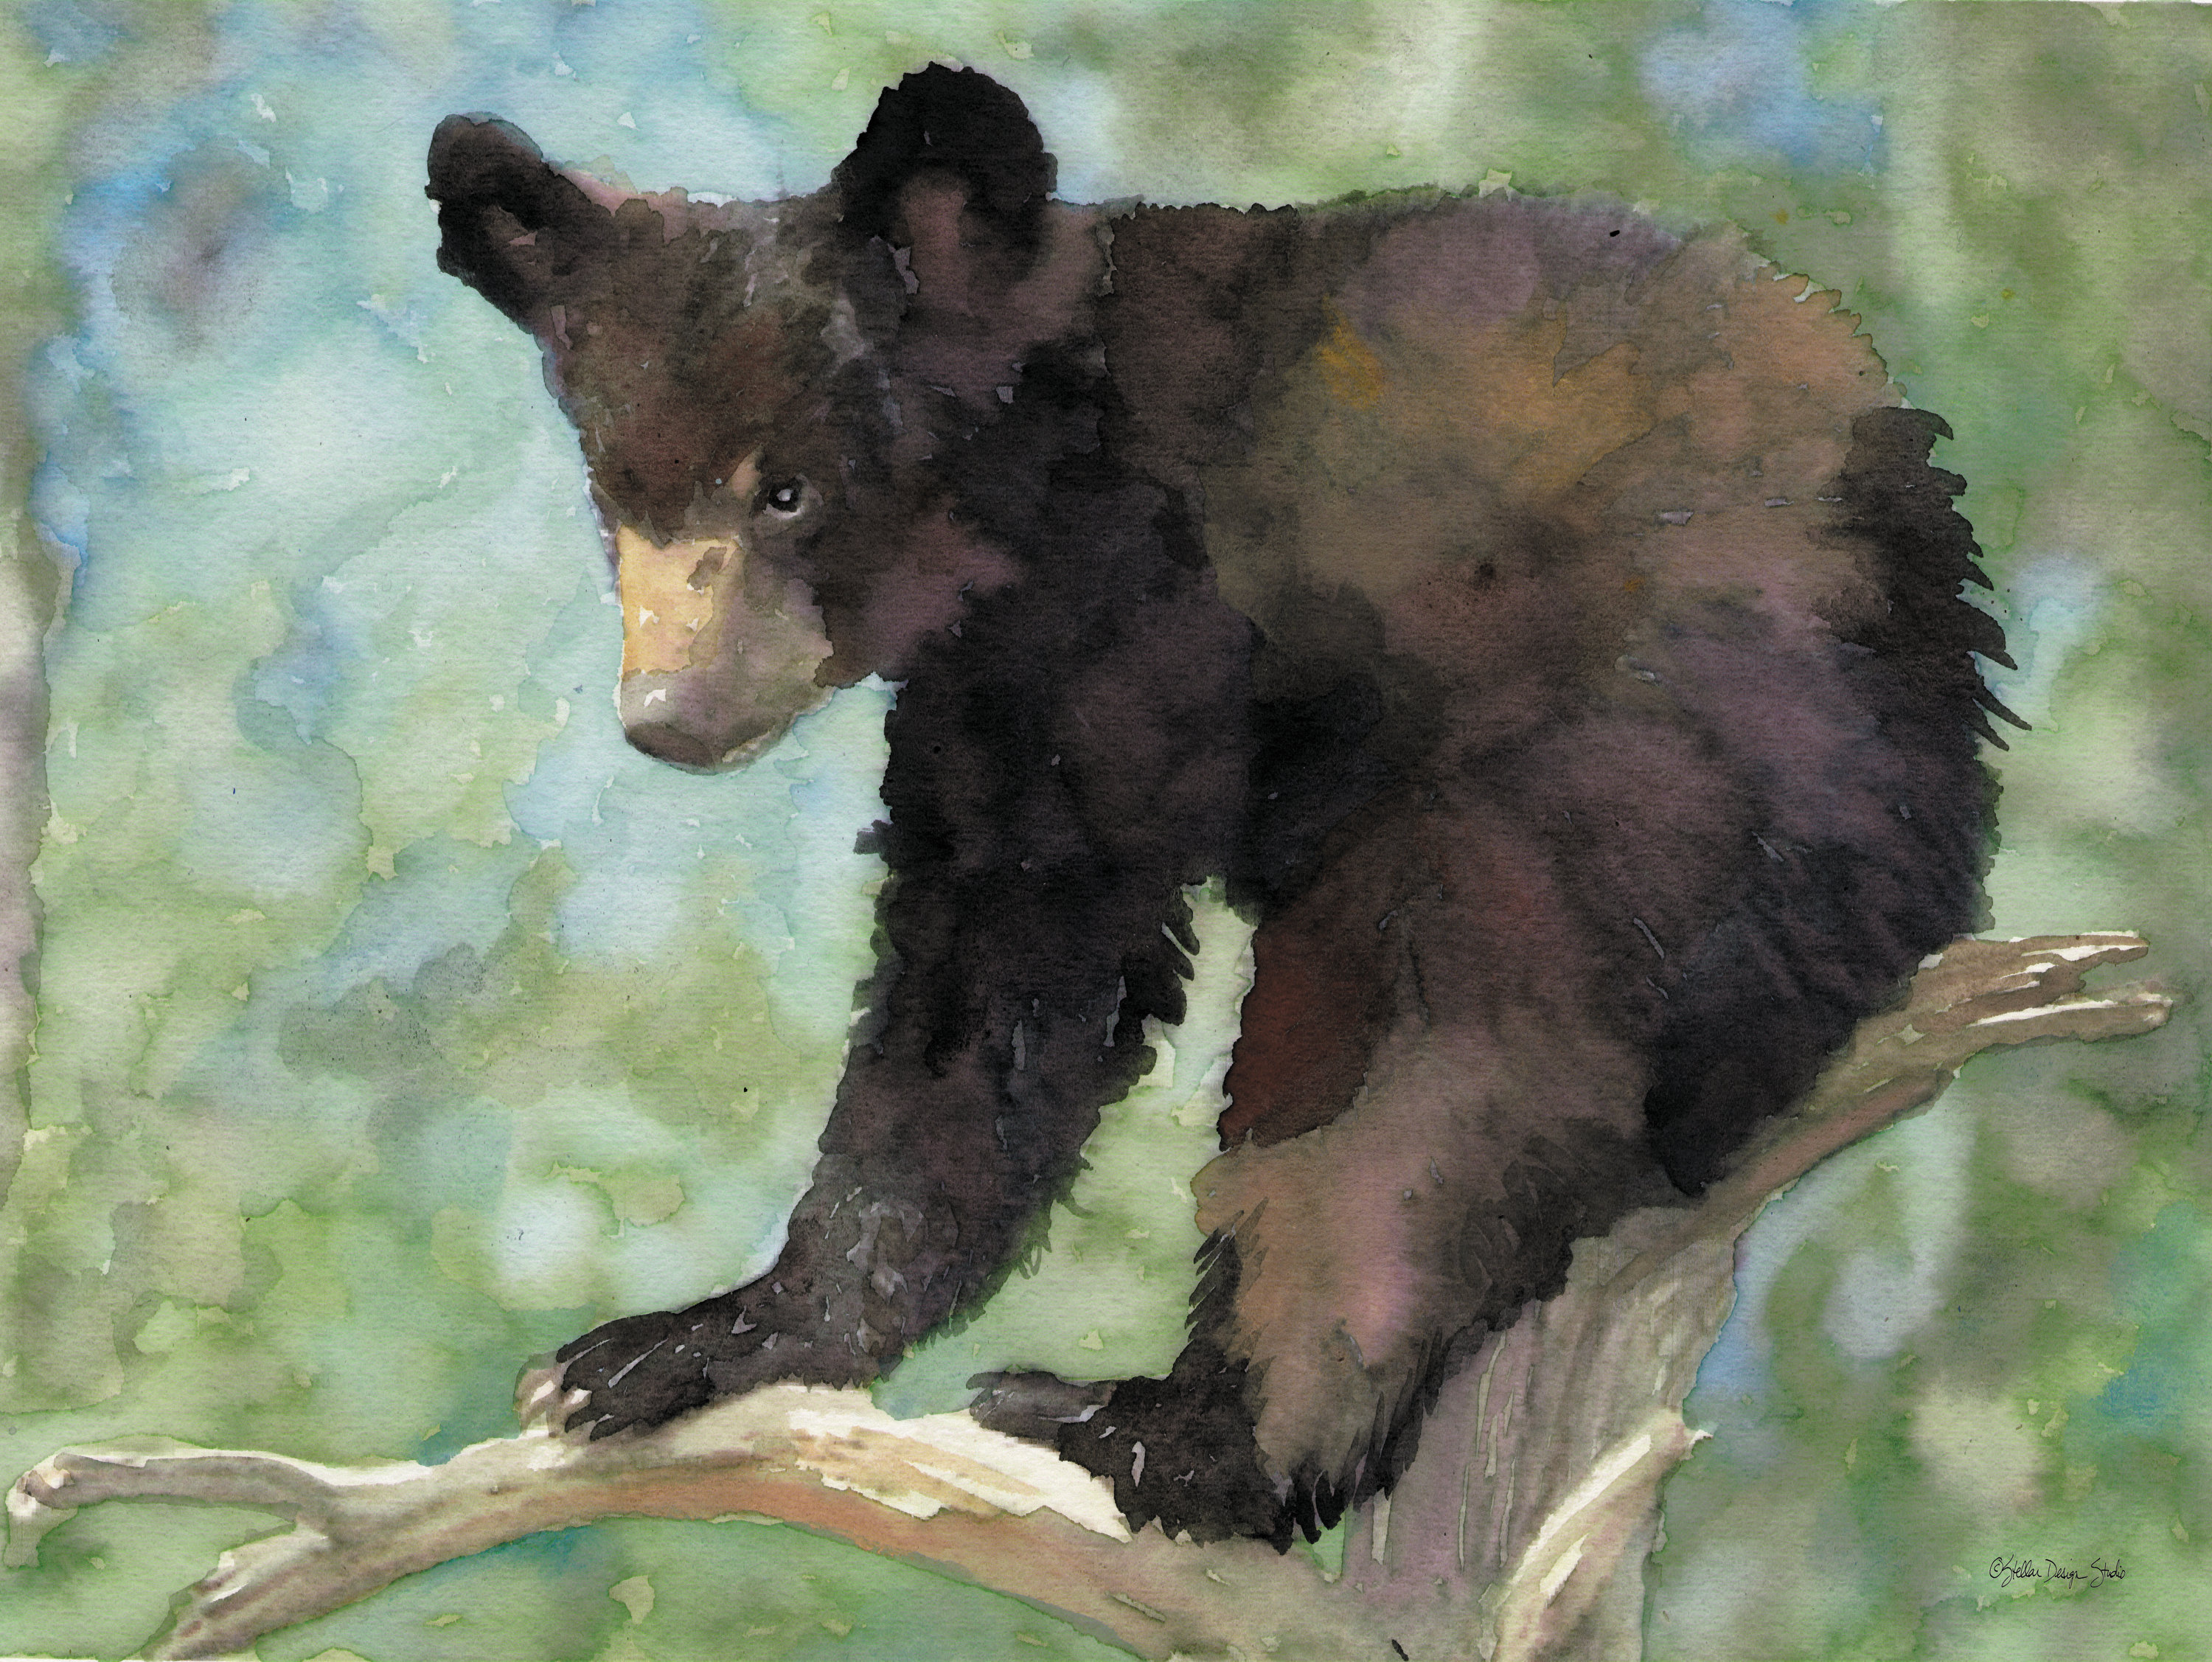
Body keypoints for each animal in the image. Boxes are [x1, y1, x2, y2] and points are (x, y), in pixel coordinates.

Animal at [426, 65, 2011, 1549]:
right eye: (620, 494)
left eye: (791, 492)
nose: (670, 715)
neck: (1041, 459)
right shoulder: (990, 670)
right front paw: (702, 1336)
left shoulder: (1146, 612)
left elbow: (1034, 944)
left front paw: (679, 1339)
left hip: (1630, 755)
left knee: (1430, 1068)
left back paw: (1178, 1432)